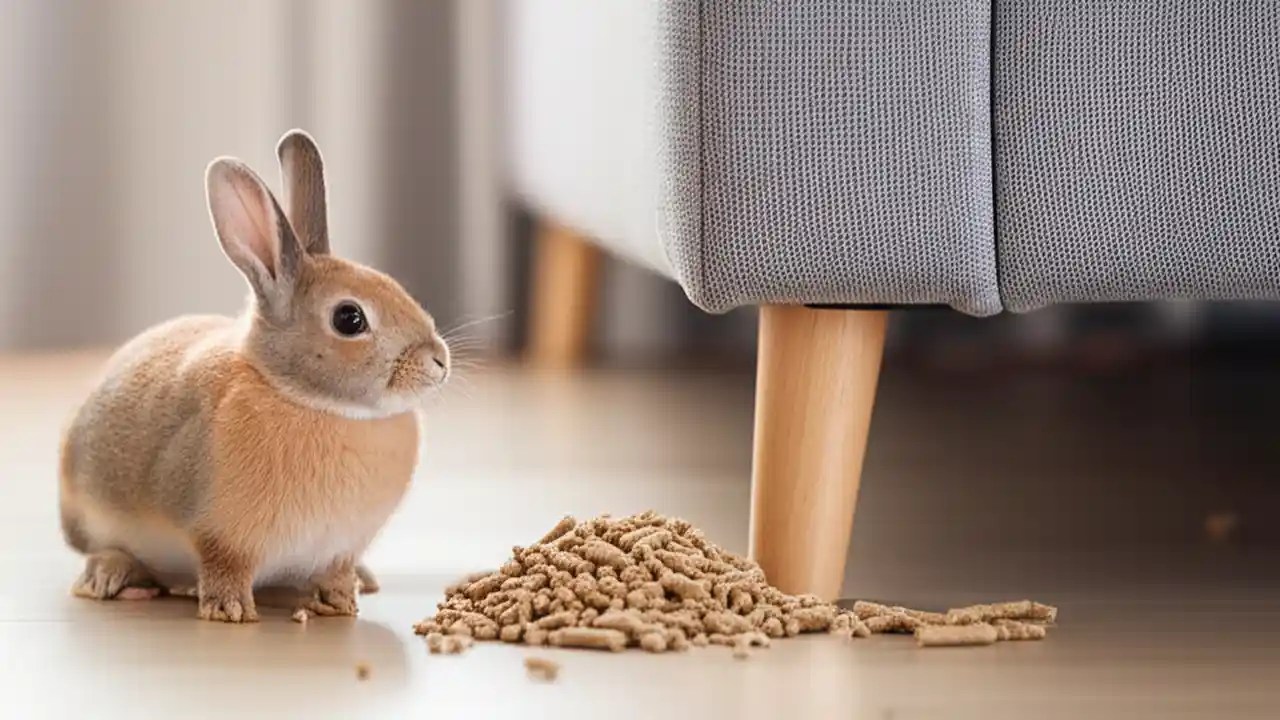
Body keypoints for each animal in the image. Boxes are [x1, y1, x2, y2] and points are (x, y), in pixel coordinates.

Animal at [58, 130, 448, 622]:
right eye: (349, 318)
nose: (439, 361)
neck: (307, 399)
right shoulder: (220, 538)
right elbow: (224, 567)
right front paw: (230, 611)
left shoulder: (340, 547)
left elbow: (336, 571)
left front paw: (341, 603)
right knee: (103, 552)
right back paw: (112, 578)